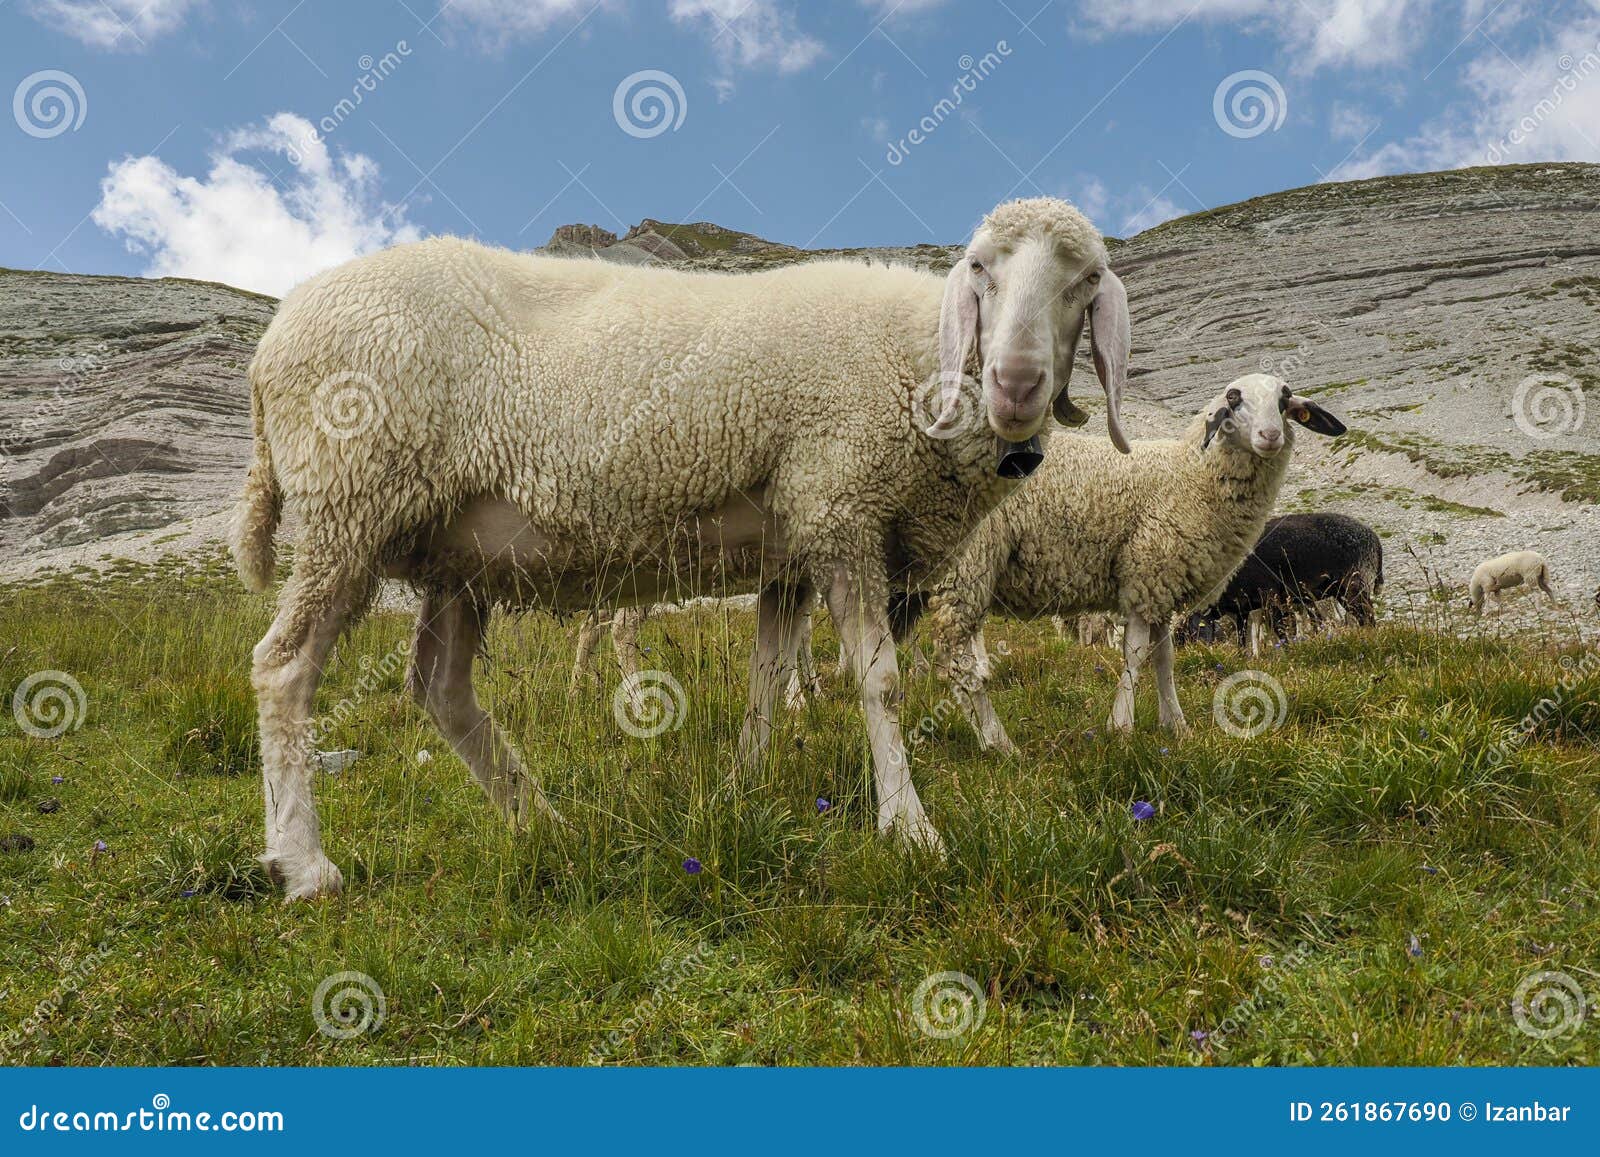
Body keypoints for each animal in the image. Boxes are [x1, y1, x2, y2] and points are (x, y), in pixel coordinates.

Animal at [229, 196, 1133, 898]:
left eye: (1086, 280)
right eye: (979, 268)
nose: (1016, 383)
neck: (915, 357)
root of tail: (273, 338)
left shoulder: (792, 546)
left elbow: (767, 678)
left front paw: (743, 789)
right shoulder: (839, 507)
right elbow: (879, 683)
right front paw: (910, 828)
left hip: (458, 550)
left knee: (440, 688)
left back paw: (540, 819)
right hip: (350, 501)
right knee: (284, 667)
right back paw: (304, 862)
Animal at [926, 374, 1345, 752]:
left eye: (1284, 398)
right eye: (1234, 397)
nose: (1271, 436)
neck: (1190, 475)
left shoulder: (1163, 587)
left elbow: (1165, 658)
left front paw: (1176, 727)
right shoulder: (1147, 574)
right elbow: (1136, 654)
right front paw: (1121, 727)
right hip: (968, 565)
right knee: (959, 663)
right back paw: (999, 744)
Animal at [1180, 512, 1383, 652]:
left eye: (1195, 631)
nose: (1203, 650)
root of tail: (1374, 538)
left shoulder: (1270, 596)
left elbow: (1280, 629)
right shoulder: (1242, 610)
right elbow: (1242, 638)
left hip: (1353, 585)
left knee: (1367, 617)